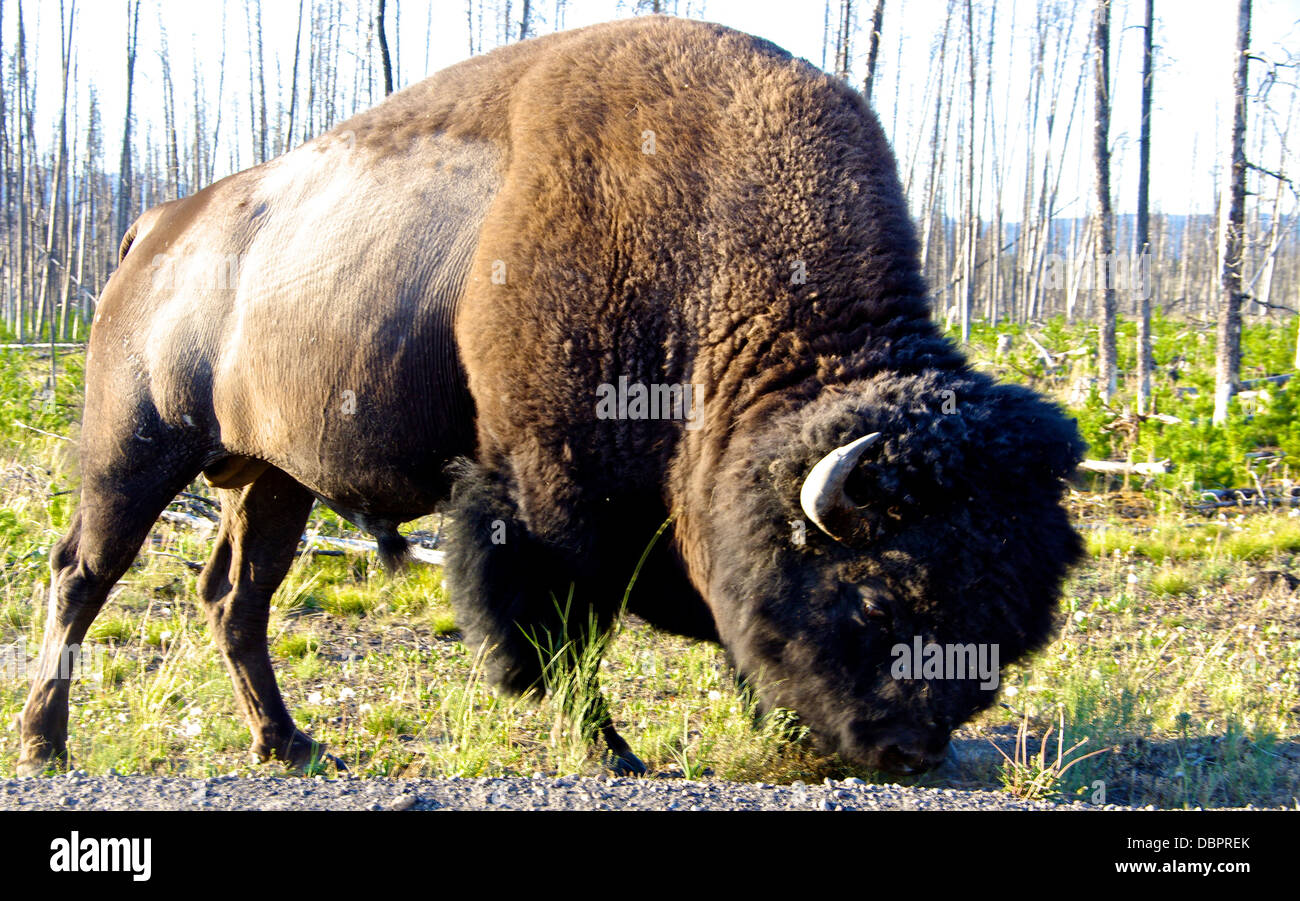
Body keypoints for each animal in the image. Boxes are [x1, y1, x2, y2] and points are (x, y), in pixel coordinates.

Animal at [17, 16, 1083, 778]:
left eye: (1015, 618)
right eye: (875, 594)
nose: (910, 751)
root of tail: (159, 224)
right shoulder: (540, 502)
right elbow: (558, 639)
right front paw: (613, 751)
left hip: (273, 479)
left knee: (236, 599)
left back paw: (290, 744)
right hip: (133, 450)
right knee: (82, 574)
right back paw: (44, 741)